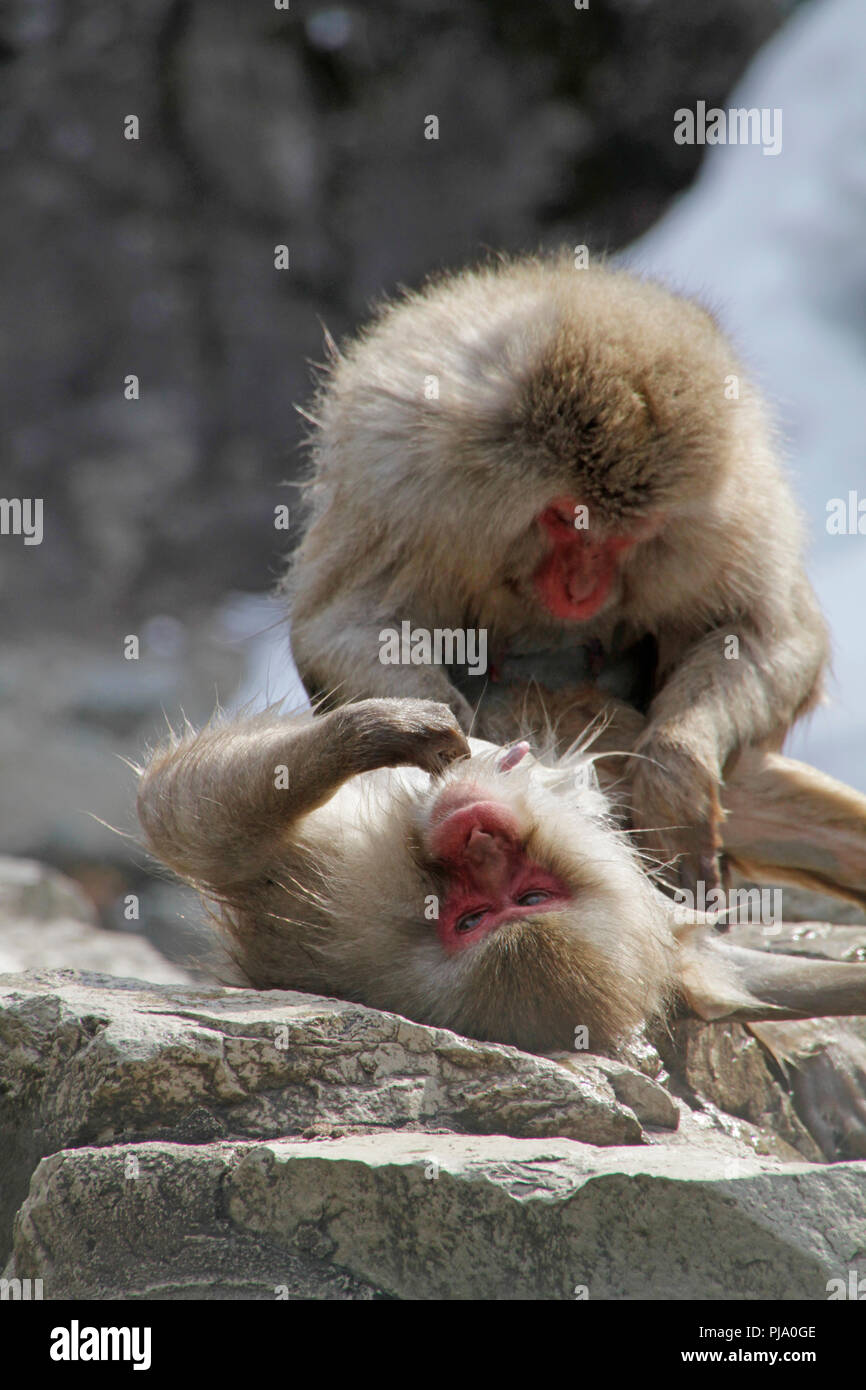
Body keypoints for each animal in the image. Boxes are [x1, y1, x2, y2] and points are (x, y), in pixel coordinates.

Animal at [286, 252, 829, 893]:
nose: (581, 591)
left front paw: (673, 773)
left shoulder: (732, 510)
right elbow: (344, 623)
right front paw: (437, 734)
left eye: (625, 539)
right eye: (565, 520)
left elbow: (769, 633)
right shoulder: (403, 478)